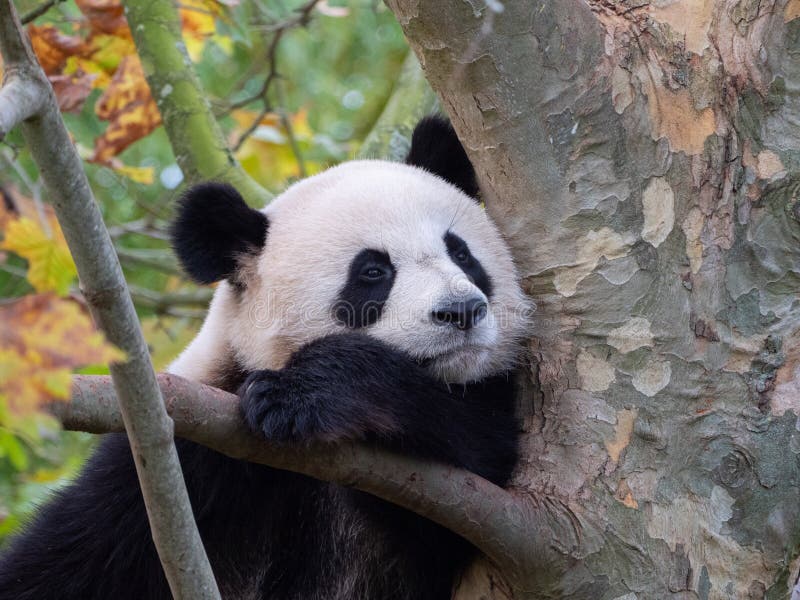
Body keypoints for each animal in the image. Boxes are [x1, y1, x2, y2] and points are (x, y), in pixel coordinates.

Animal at [0, 116, 529, 600]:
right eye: (373, 272)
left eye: (461, 254)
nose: (461, 311)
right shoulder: (186, 453)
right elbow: (72, 557)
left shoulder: (479, 501)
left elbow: (484, 449)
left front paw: (300, 394)